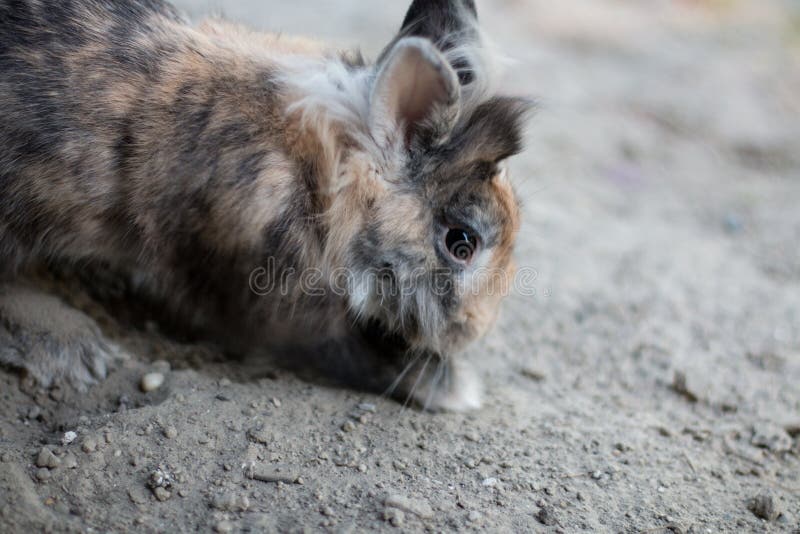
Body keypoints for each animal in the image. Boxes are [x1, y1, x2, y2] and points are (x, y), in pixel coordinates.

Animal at [0, 0, 529, 411]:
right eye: (461, 243)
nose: (476, 329)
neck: (317, 179)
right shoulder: (271, 304)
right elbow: (348, 352)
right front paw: (455, 390)